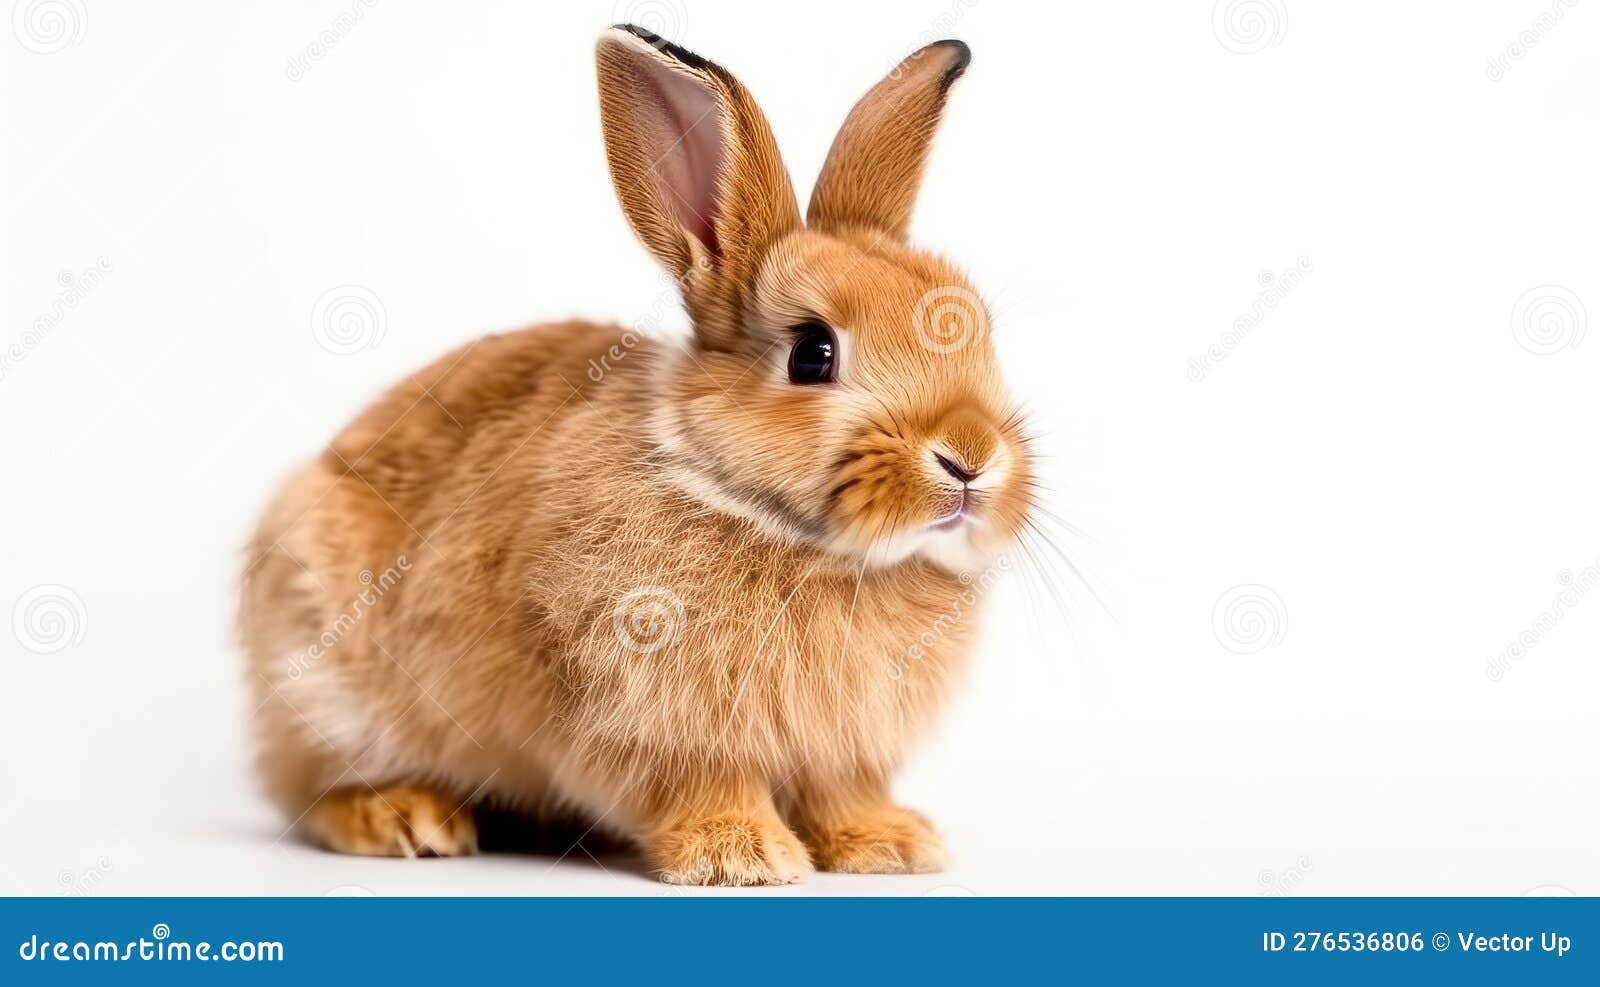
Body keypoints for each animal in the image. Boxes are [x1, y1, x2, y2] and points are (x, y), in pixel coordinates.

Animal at [238, 24, 1034, 885]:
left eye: (976, 326)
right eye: (812, 354)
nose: (971, 457)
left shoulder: (846, 748)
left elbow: (844, 792)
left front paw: (891, 844)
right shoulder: (649, 718)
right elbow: (702, 781)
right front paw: (742, 855)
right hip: (327, 680)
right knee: (312, 788)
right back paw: (404, 818)